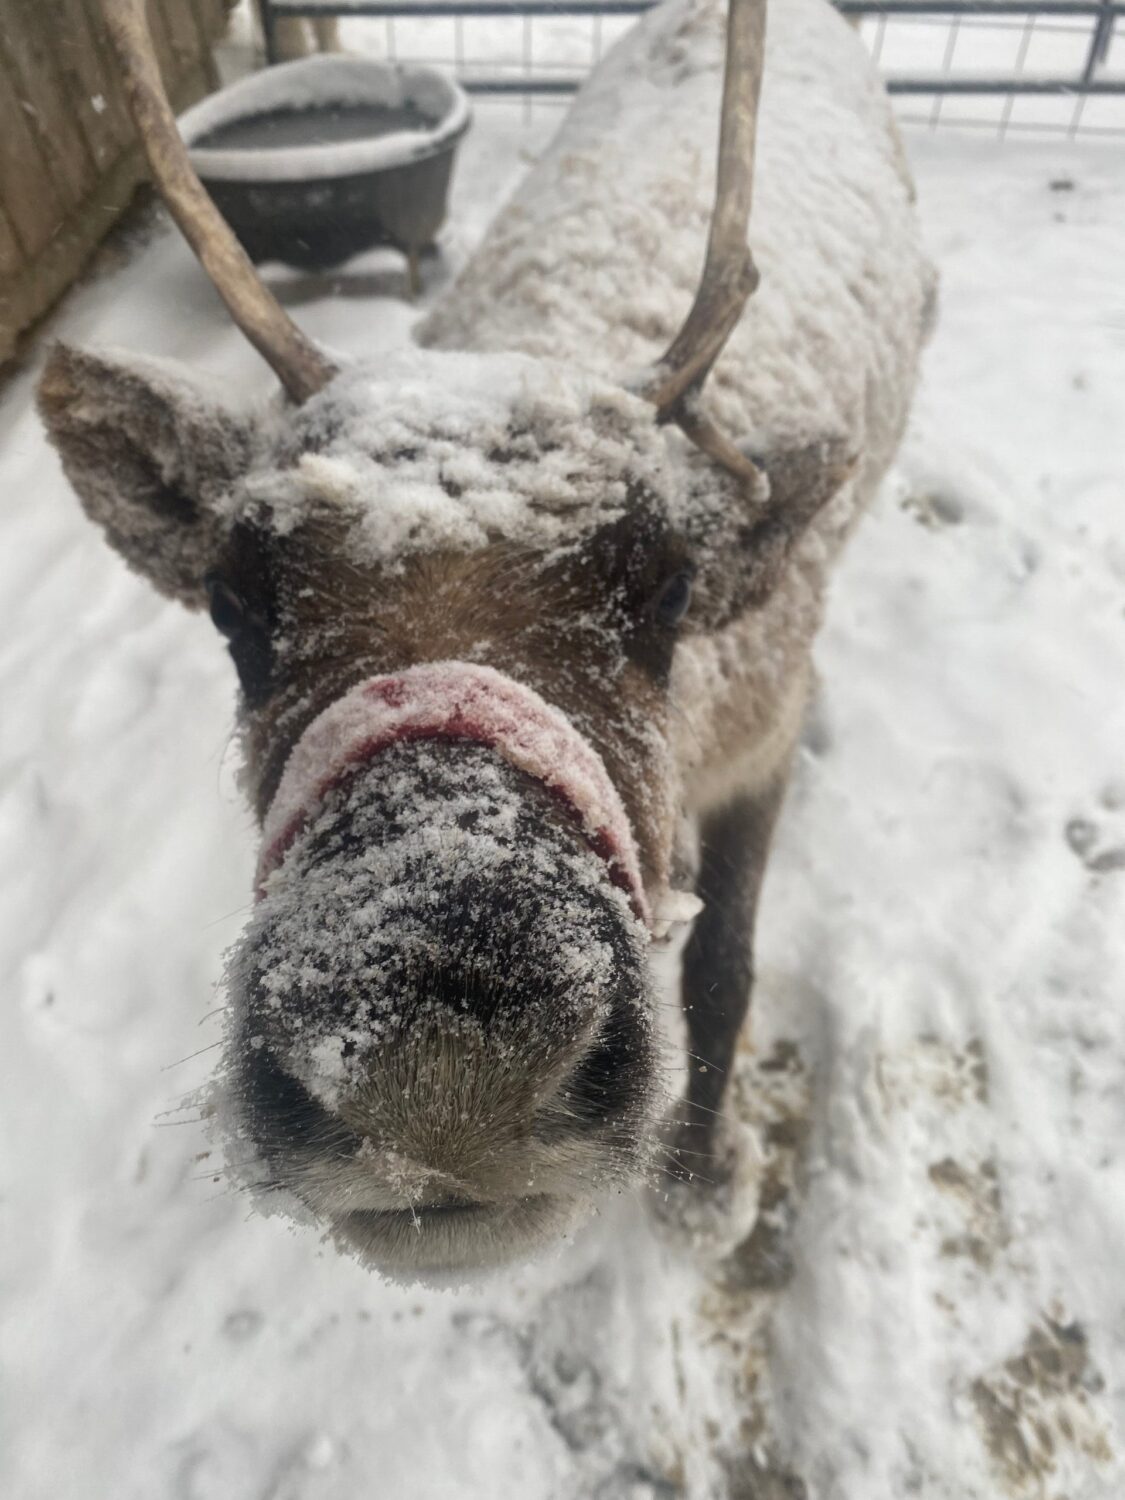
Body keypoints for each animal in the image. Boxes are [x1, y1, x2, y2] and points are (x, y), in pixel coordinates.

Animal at [37, 0, 933, 1278]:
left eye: (670, 589)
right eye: (233, 605)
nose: (439, 1069)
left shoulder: (759, 736)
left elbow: (725, 964)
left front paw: (705, 1178)